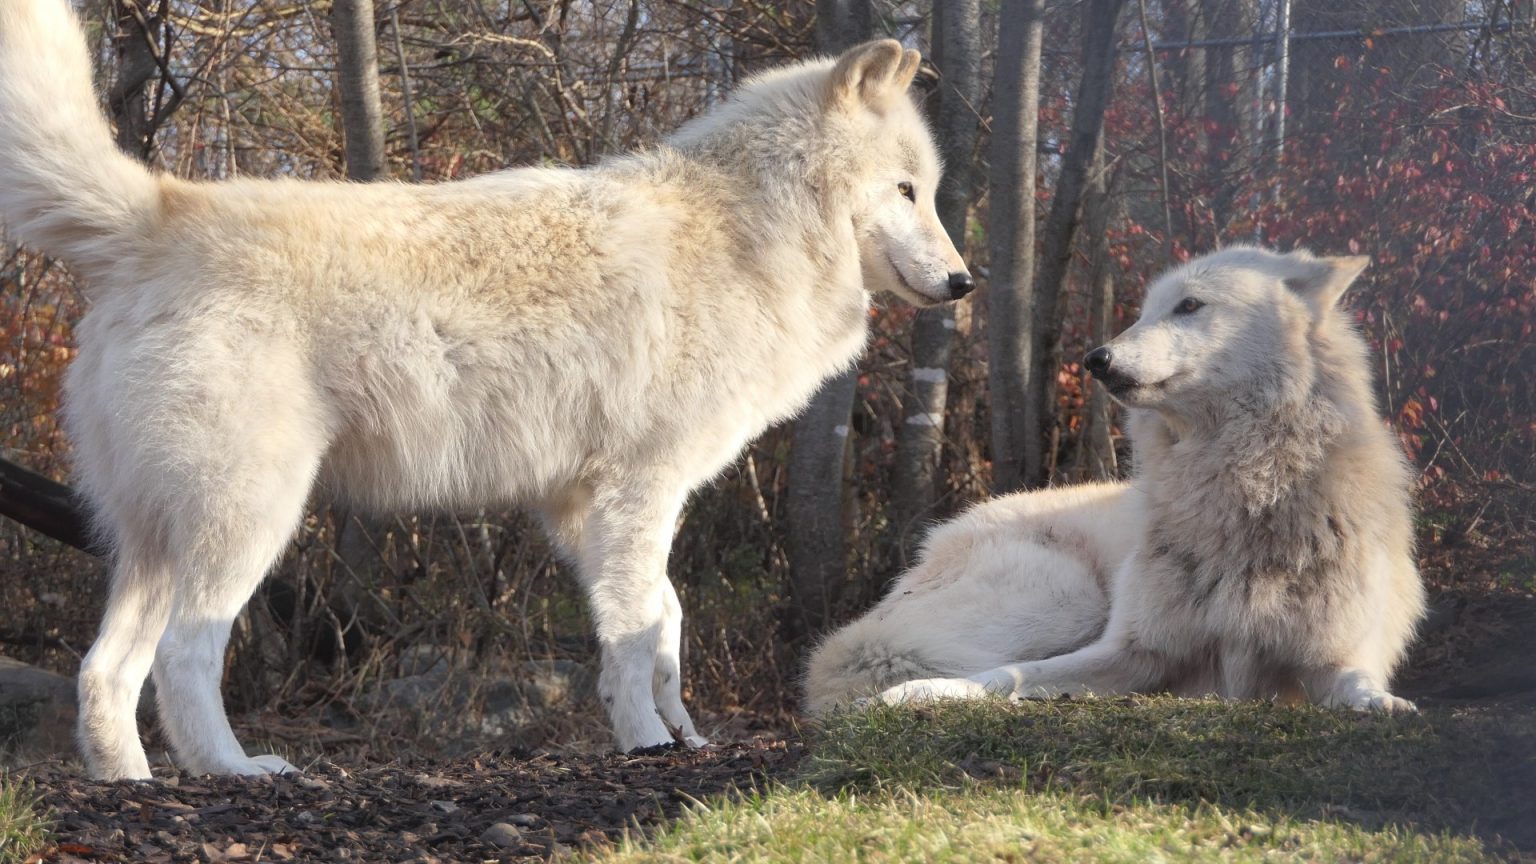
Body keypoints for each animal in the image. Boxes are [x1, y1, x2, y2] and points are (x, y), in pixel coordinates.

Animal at [0, 0, 972, 779]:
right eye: (907, 190)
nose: (965, 283)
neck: (750, 231)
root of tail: (159, 212)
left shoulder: (585, 506)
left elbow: (663, 620)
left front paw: (683, 732)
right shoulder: (640, 492)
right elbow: (631, 637)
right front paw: (644, 745)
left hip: (152, 541)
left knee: (103, 670)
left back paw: (129, 780)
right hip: (247, 523)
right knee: (183, 659)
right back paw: (236, 772)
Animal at [805, 247, 1425, 715]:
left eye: (1189, 305)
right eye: (1145, 312)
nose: (1095, 358)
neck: (1241, 491)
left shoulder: (1329, 657)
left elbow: (1356, 682)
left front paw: (1384, 704)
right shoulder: (1135, 651)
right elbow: (1005, 674)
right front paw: (919, 693)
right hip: (1069, 595)